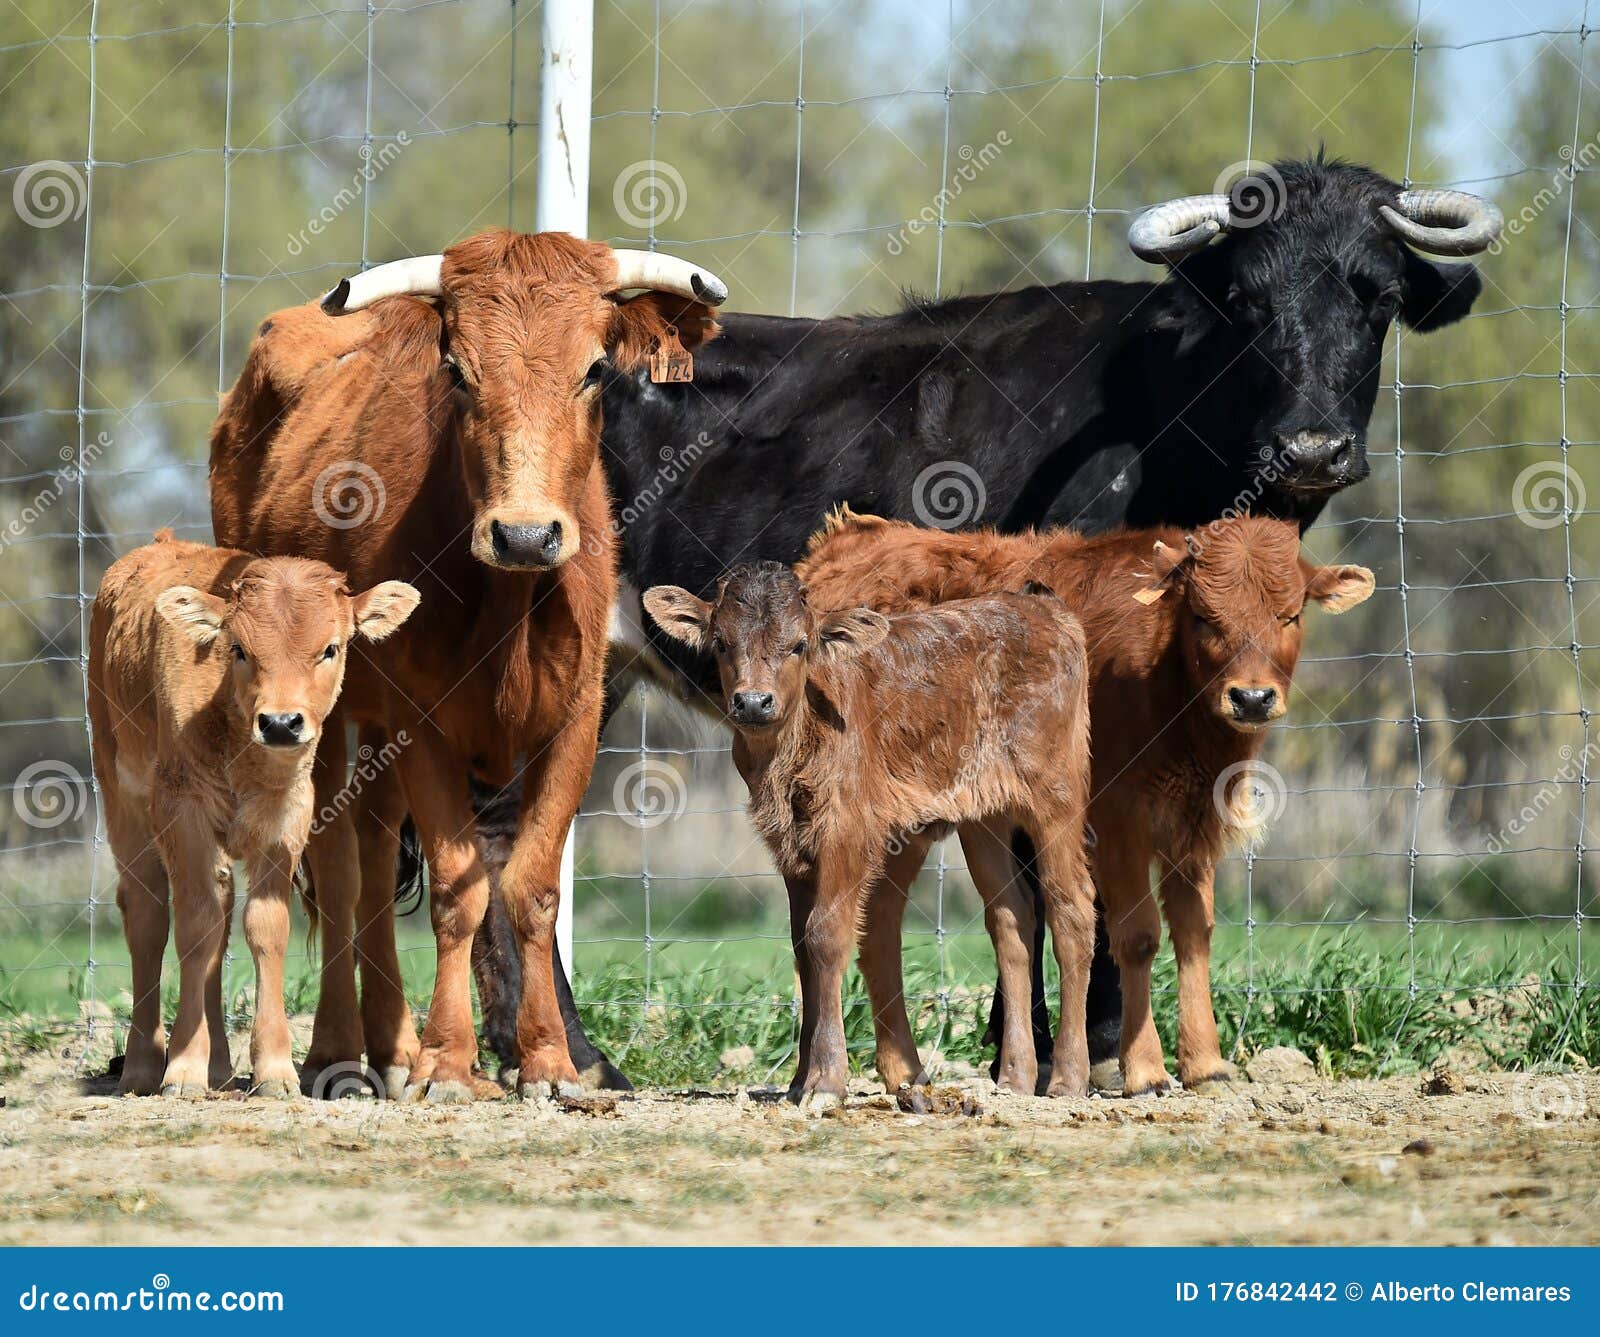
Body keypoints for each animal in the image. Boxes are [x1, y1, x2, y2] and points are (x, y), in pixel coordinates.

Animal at [87, 531, 417, 1097]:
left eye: (330, 648)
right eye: (238, 648)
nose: (281, 723)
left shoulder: (286, 820)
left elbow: (263, 926)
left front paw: (275, 1070)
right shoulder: (183, 812)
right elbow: (193, 925)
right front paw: (183, 1069)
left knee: (219, 910)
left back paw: (220, 1063)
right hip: (122, 798)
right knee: (148, 915)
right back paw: (144, 1064)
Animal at [209, 230, 726, 1100]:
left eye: (594, 369)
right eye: (457, 371)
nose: (524, 534)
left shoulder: (575, 718)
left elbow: (532, 885)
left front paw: (548, 1061)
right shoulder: (423, 724)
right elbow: (459, 886)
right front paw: (449, 1062)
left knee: (374, 852)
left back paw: (392, 1046)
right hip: (319, 709)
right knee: (343, 867)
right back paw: (342, 1051)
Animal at [643, 563, 1095, 1103]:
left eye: (800, 644)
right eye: (721, 642)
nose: (753, 702)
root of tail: (1045, 608)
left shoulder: (847, 832)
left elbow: (826, 935)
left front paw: (825, 1080)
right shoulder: (789, 846)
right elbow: (801, 946)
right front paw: (798, 1082)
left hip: (1057, 796)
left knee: (1071, 909)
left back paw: (1068, 1077)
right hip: (984, 817)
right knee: (1011, 918)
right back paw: (1014, 1078)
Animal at [795, 510, 1374, 1094]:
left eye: (1290, 614)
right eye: (1204, 617)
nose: (1251, 698)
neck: (1163, 678)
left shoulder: (1194, 822)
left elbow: (1194, 931)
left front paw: (1205, 1064)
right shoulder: (1117, 821)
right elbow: (1137, 934)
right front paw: (1145, 1068)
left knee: (879, 920)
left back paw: (902, 1071)